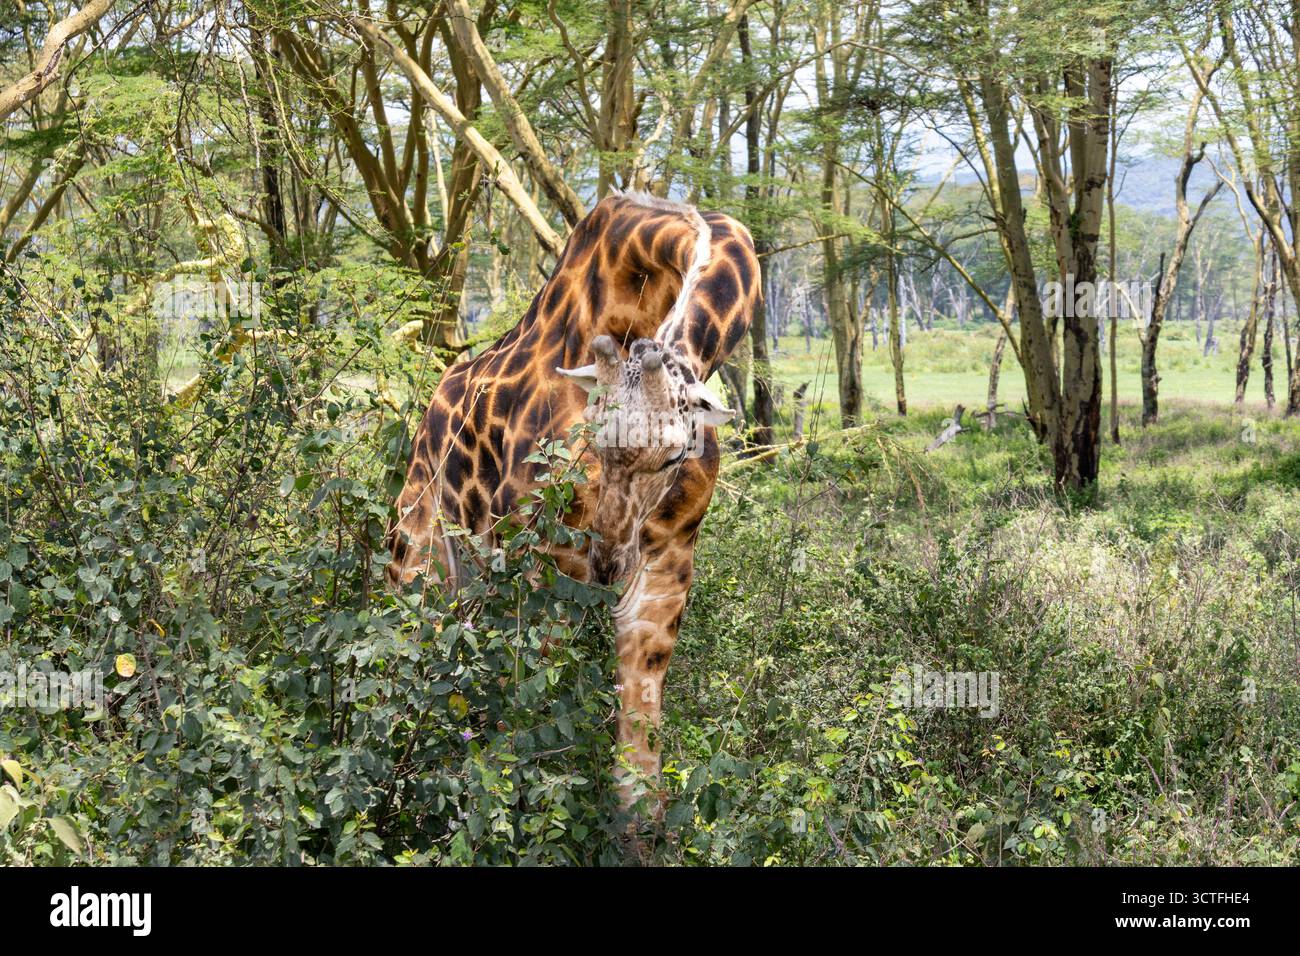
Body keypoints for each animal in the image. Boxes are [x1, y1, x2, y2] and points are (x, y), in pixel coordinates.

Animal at [387, 191, 760, 813]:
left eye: (675, 458)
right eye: (594, 444)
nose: (609, 565)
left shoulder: (666, 566)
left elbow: (639, 747)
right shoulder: (542, 561)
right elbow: (522, 713)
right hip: (423, 550)